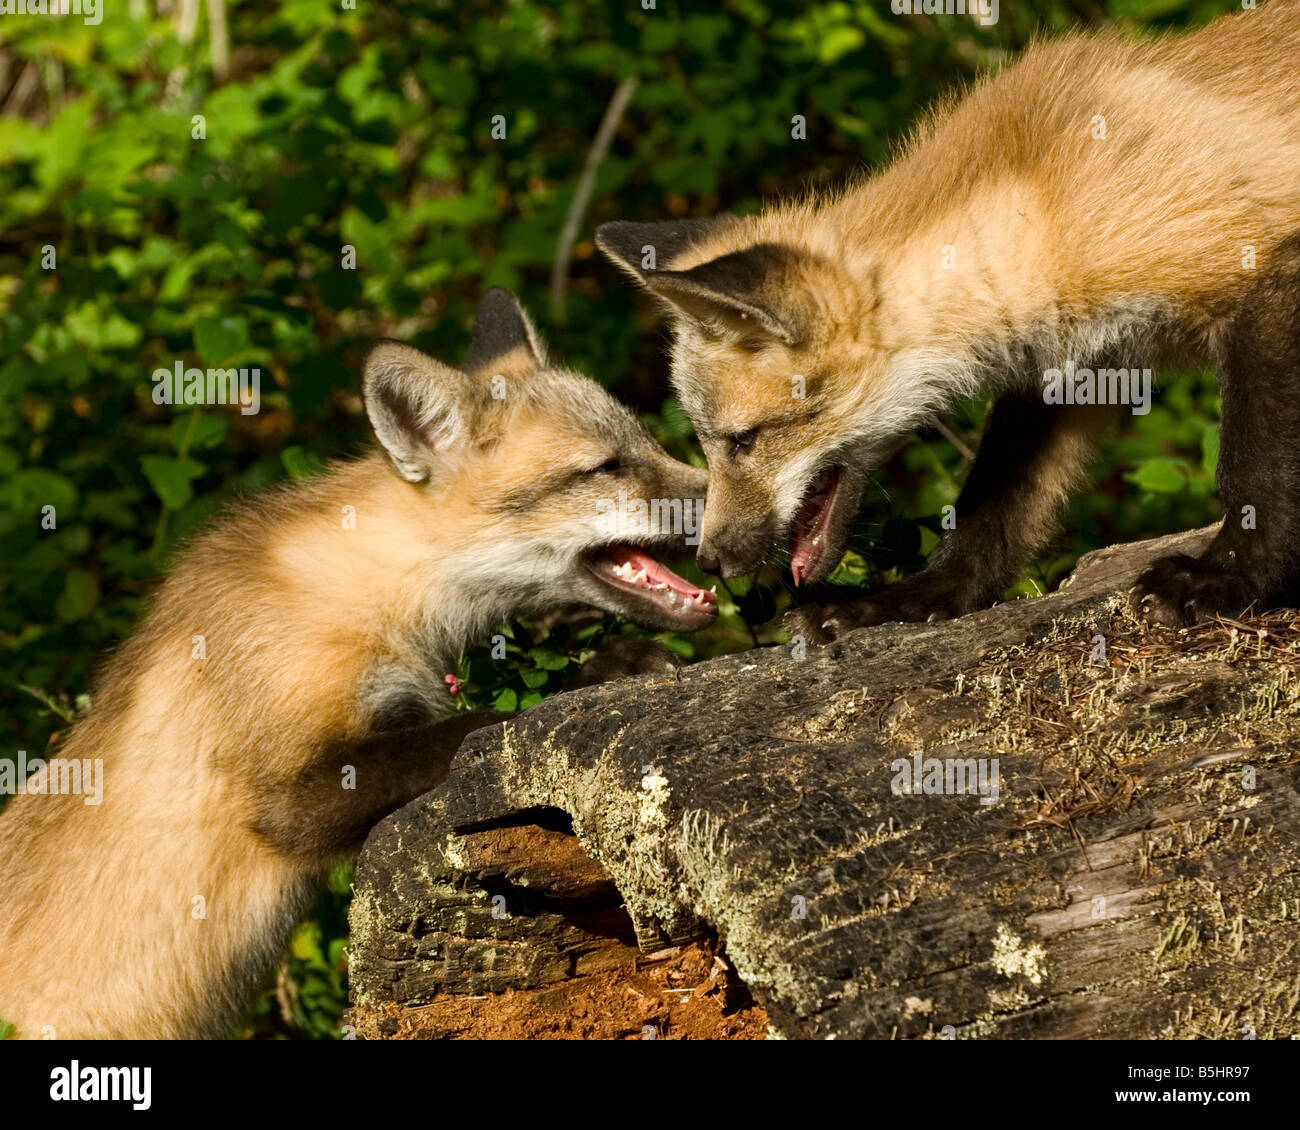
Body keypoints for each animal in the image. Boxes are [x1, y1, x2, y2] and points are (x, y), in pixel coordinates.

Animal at [0, 288, 715, 1039]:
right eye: (605, 467)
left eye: (648, 443)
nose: (732, 505)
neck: (357, 593)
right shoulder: (290, 792)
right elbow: (474, 728)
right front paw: (598, 676)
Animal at [597, 1, 1300, 641]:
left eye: (743, 440)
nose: (710, 562)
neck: (1044, 209)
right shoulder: (1068, 367)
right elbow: (992, 511)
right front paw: (913, 600)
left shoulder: (1260, 279)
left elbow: (1250, 473)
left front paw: (1231, 579)